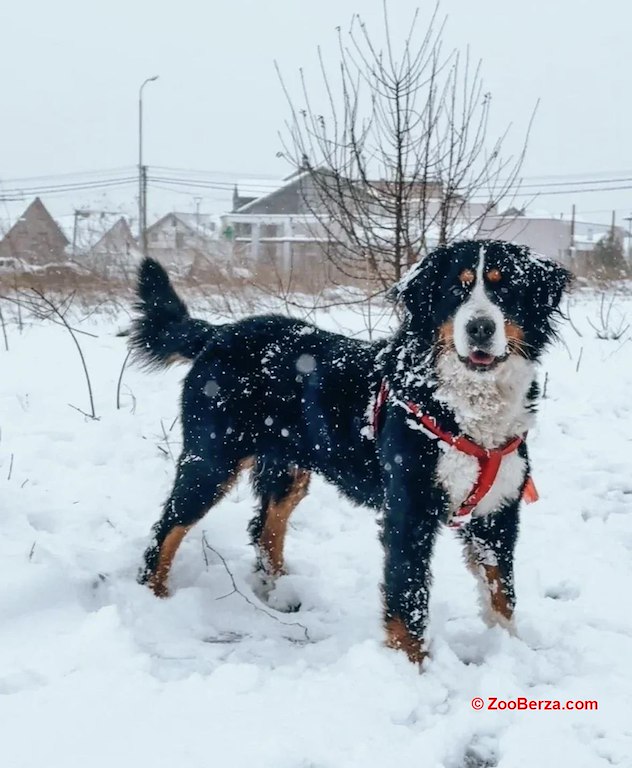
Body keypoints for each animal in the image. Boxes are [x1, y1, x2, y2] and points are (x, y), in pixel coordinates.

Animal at [131, 242, 572, 664]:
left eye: (505, 289)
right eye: (455, 291)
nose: (480, 327)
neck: (465, 407)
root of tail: (219, 334)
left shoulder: (497, 513)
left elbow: (501, 594)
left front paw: (510, 651)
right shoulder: (409, 511)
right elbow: (408, 599)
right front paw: (410, 668)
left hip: (286, 468)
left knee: (264, 527)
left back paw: (278, 594)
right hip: (211, 461)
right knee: (166, 529)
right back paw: (154, 600)